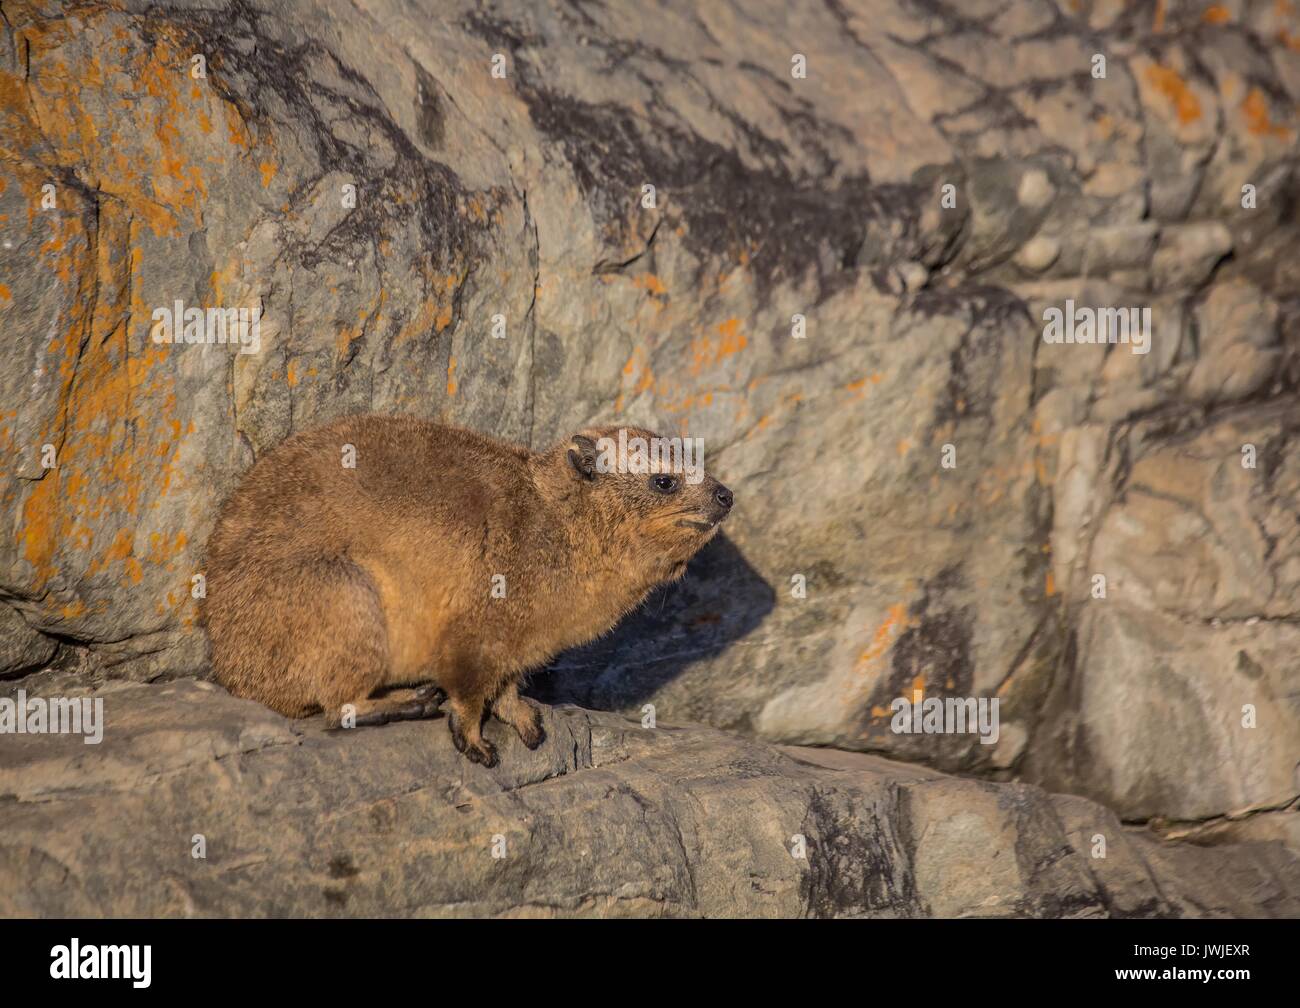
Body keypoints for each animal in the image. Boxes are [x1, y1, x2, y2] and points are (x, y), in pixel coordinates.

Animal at [201, 416, 733, 766]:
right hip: (343, 594)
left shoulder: (519, 641)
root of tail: (229, 667)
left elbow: (508, 683)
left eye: (696, 459)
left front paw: (524, 717)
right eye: (663, 481)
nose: (726, 494)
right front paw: (475, 739)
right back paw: (409, 701)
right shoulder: (480, 618)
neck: (558, 528)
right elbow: (470, 685)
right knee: (336, 707)